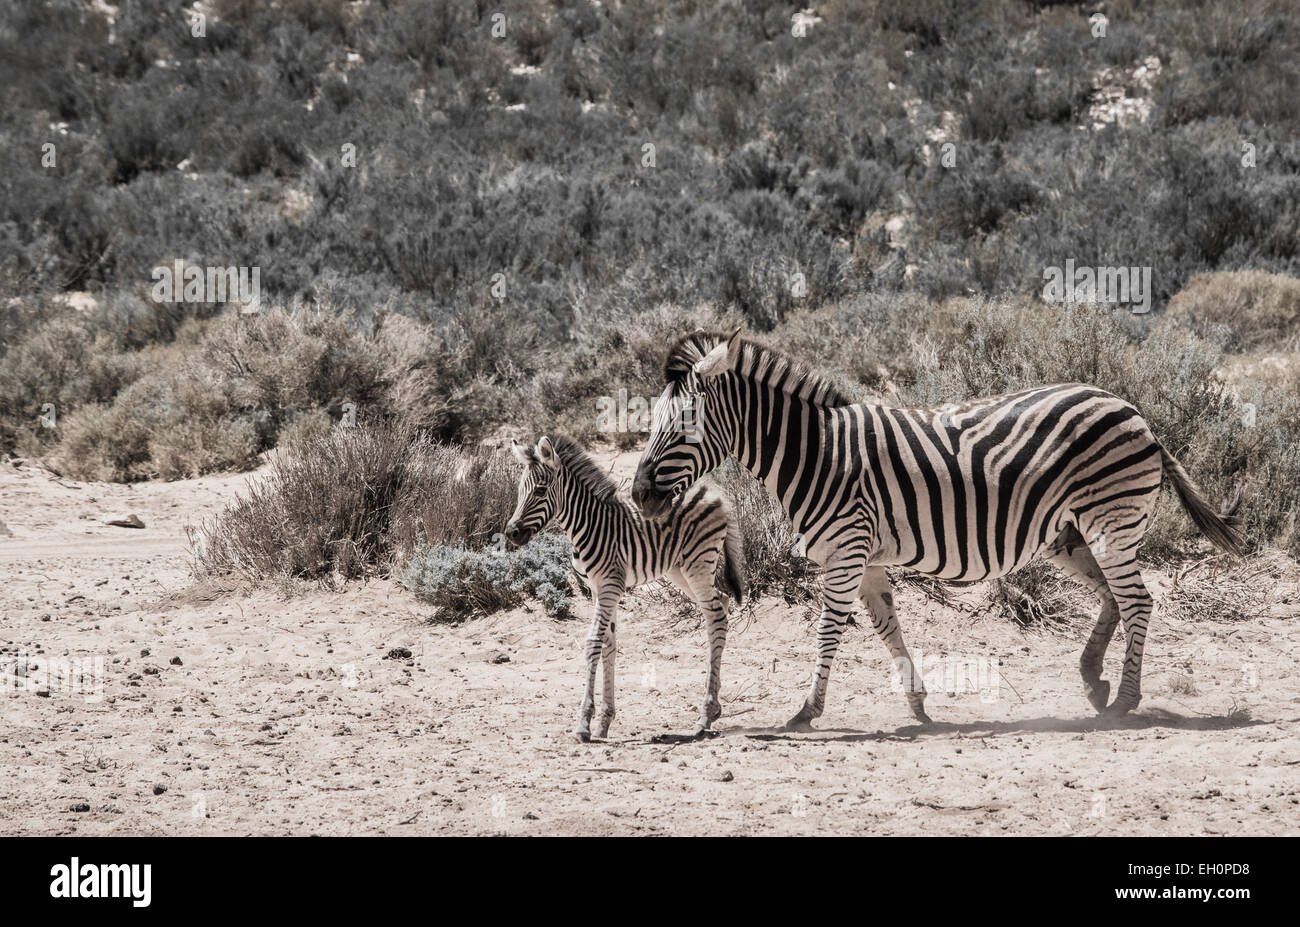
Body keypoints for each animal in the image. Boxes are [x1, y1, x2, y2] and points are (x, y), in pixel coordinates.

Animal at [505, 436, 745, 742]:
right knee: (721, 604)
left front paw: (583, 724)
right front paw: (604, 721)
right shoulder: (599, 589)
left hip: (698, 564)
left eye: (539, 490)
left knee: (715, 614)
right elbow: (608, 645)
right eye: (519, 490)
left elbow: (592, 644)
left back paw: (705, 715)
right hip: (680, 570)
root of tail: (715, 490)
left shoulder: (610, 585)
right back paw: (713, 709)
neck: (588, 525)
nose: (511, 533)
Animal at [632, 329, 1243, 730]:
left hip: (1109, 519)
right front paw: (918, 703)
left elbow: (829, 631)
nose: (638, 495)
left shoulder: (846, 551)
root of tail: (1133, 409)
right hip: (1070, 534)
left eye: (682, 430)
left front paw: (807, 710)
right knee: (1115, 597)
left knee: (1137, 600)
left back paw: (1125, 700)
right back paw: (1095, 681)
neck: (819, 455)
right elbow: (887, 629)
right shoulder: (866, 558)